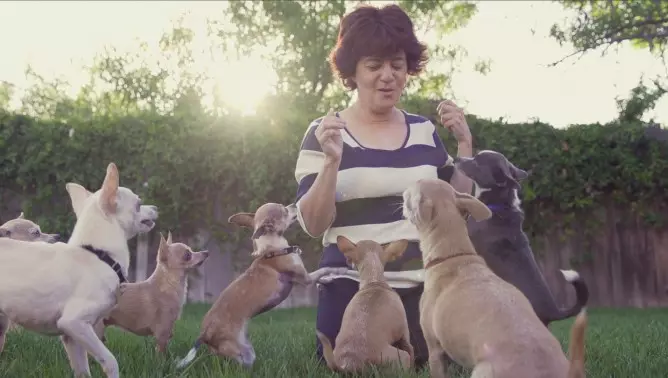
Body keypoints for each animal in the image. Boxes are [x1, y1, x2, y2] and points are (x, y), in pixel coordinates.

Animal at [175, 204, 348, 370]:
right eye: (284, 210)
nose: (294, 205)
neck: (273, 249)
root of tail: (205, 333)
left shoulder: (307, 277)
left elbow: (321, 275)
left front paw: (327, 280)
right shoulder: (305, 278)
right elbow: (325, 270)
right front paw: (338, 272)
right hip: (243, 352)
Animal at [316, 236, 414, 372]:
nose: (347, 261)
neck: (373, 280)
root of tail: (348, 364)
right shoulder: (404, 333)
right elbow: (411, 350)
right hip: (402, 357)